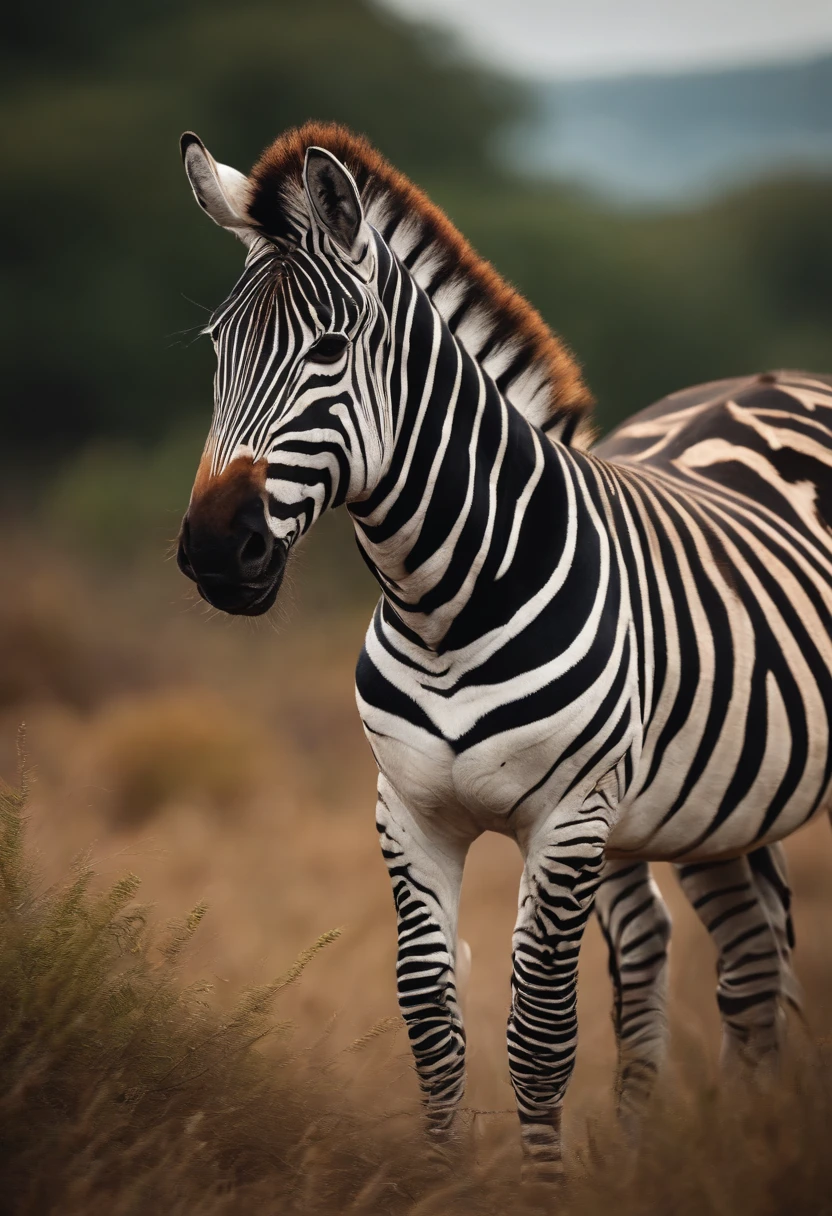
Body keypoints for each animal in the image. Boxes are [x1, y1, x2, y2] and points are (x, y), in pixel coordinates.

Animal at [175, 123, 822, 1172]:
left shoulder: (568, 818)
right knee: (748, 964)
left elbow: (540, 1035)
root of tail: (766, 376)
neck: (445, 603)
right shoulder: (408, 814)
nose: (212, 552)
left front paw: (546, 1185)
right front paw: (443, 1181)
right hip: (711, 803)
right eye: (219, 349)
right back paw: (744, 1147)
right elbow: (433, 1023)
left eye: (329, 347)